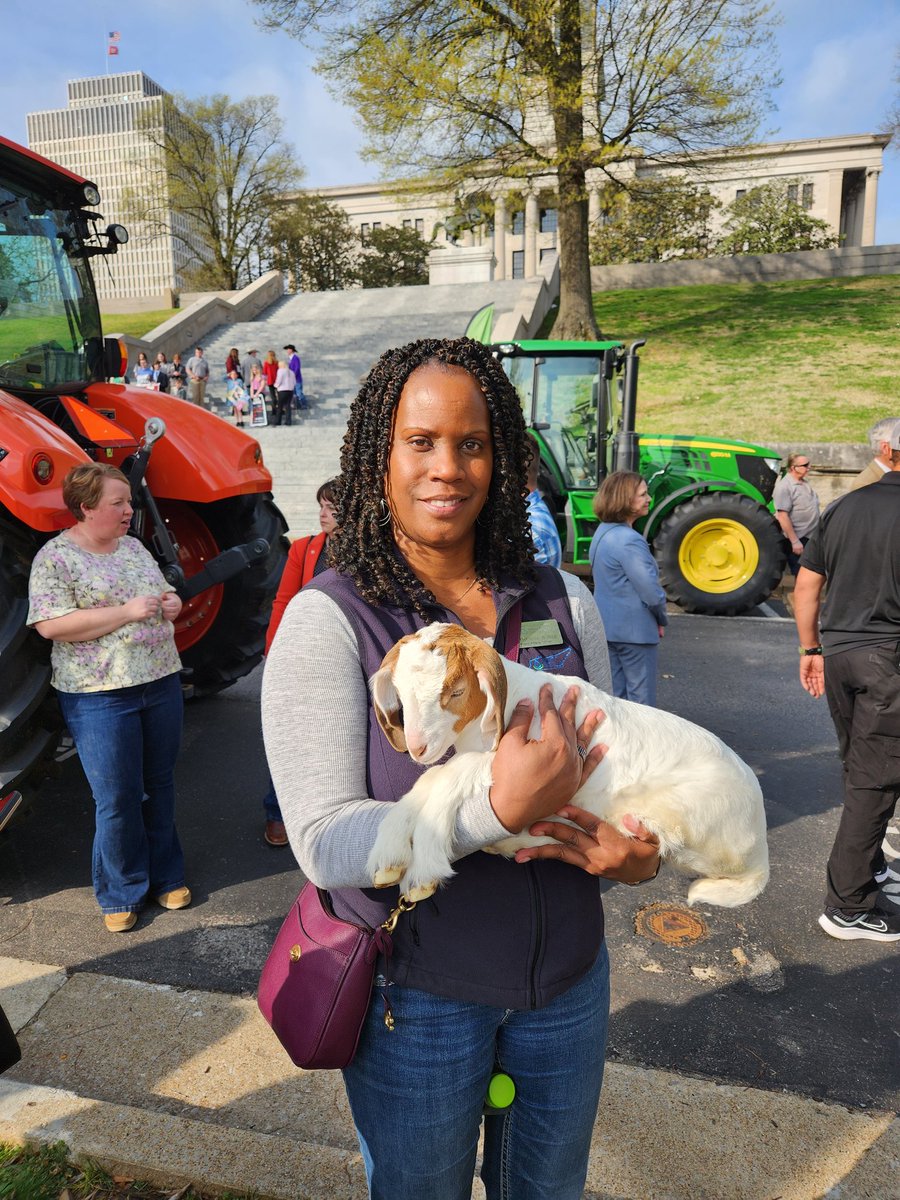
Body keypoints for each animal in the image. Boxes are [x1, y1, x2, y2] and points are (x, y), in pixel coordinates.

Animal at [367, 624, 768, 902]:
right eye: (399, 692)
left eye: (456, 691)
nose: (417, 748)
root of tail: (759, 849)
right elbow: (428, 781)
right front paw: (389, 856)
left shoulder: (506, 758)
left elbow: (444, 775)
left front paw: (423, 870)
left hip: (680, 815)